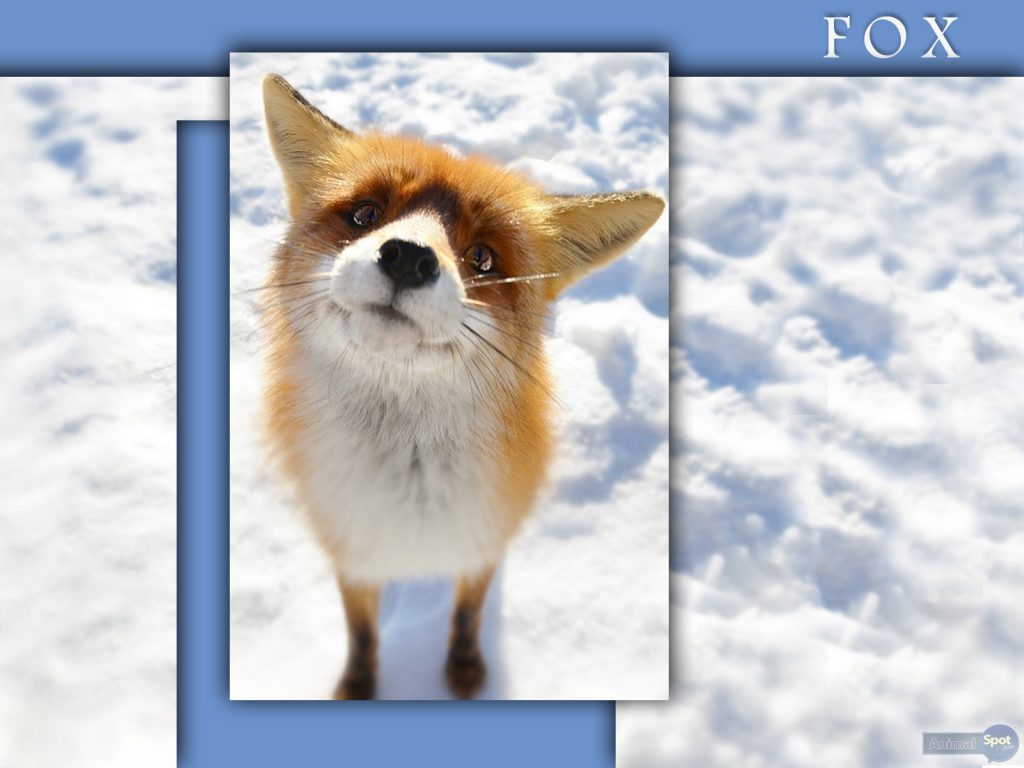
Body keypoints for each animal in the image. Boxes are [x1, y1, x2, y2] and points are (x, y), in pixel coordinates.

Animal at [259, 73, 664, 700]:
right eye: (365, 214)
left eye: (483, 257)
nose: (407, 257)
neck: (408, 488)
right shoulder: (349, 547)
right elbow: (362, 630)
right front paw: (358, 686)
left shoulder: (484, 539)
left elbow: (468, 613)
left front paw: (466, 670)